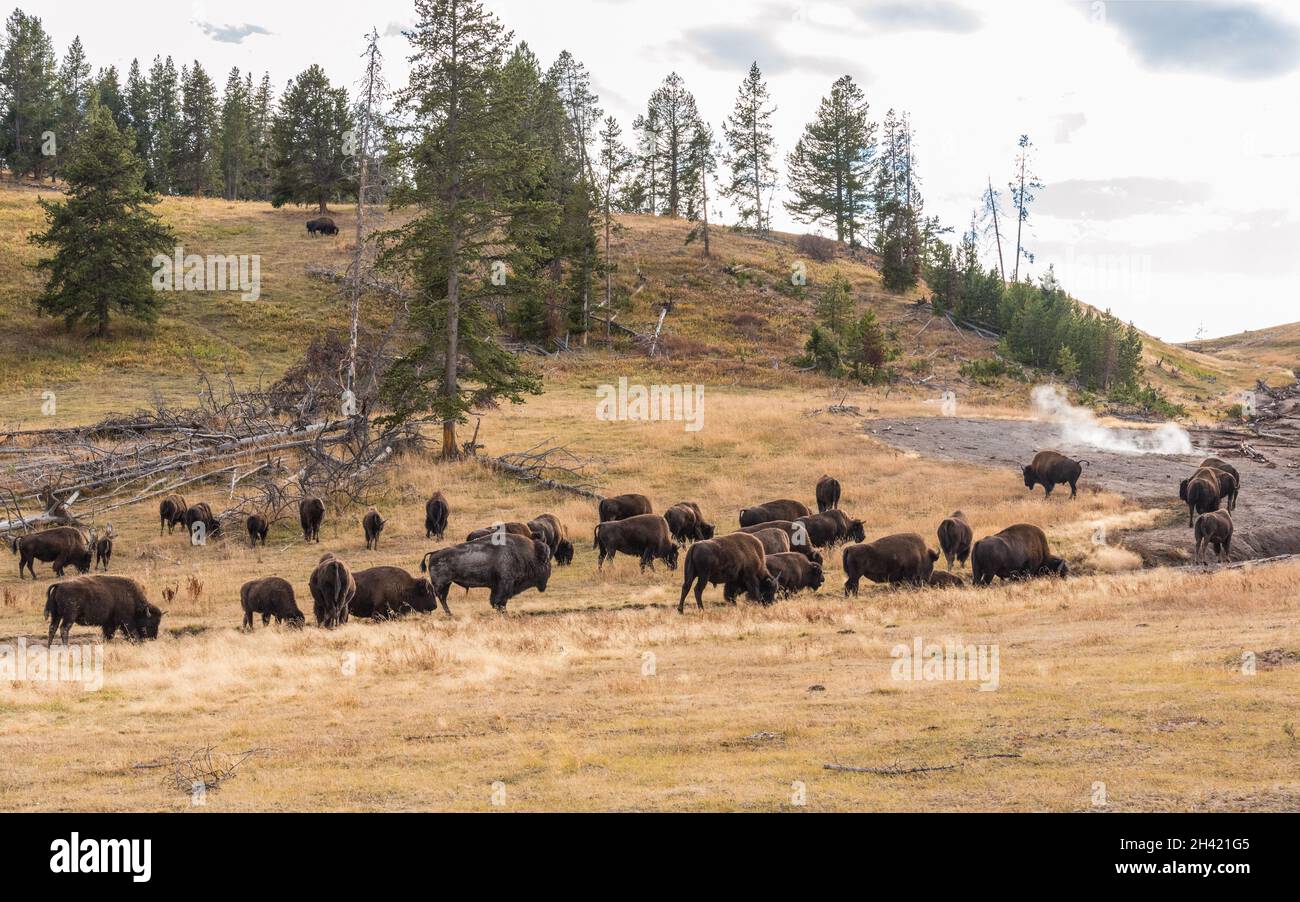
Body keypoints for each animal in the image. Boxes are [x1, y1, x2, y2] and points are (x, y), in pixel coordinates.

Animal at [420, 534, 552, 614]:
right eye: (545, 562)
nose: (549, 571)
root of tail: (434, 553)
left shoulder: (496, 587)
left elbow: (495, 600)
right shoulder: (505, 584)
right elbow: (500, 601)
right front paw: (504, 613)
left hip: (446, 584)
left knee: (442, 598)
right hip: (443, 584)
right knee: (441, 597)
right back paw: (449, 614)